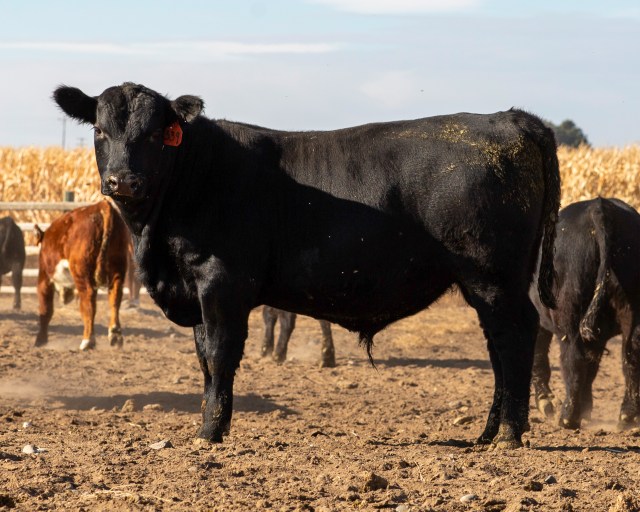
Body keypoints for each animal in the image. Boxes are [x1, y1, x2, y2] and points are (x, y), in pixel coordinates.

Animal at [34, 199, 129, 350]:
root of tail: (101, 205)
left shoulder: (45, 277)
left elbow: (46, 310)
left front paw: (40, 340)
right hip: (118, 266)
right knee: (115, 296)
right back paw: (115, 335)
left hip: (80, 271)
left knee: (88, 299)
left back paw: (88, 340)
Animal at [53, 82, 560, 449]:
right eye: (100, 131)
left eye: (156, 134)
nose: (123, 181)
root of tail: (508, 117)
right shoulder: (195, 291)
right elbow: (203, 359)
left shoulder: (222, 283)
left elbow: (220, 355)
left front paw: (210, 432)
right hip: (489, 284)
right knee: (498, 348)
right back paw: (489, 431)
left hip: (493, 278)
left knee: (515, 337)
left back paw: (510, 434)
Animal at [530, 197, 640, 430]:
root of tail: (600, 207)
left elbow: (538, 357)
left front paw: (546, 404)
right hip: (632, 314)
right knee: (630, 354)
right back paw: (627, 416)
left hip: (570, 319)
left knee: (574, 360)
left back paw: (567, 417)